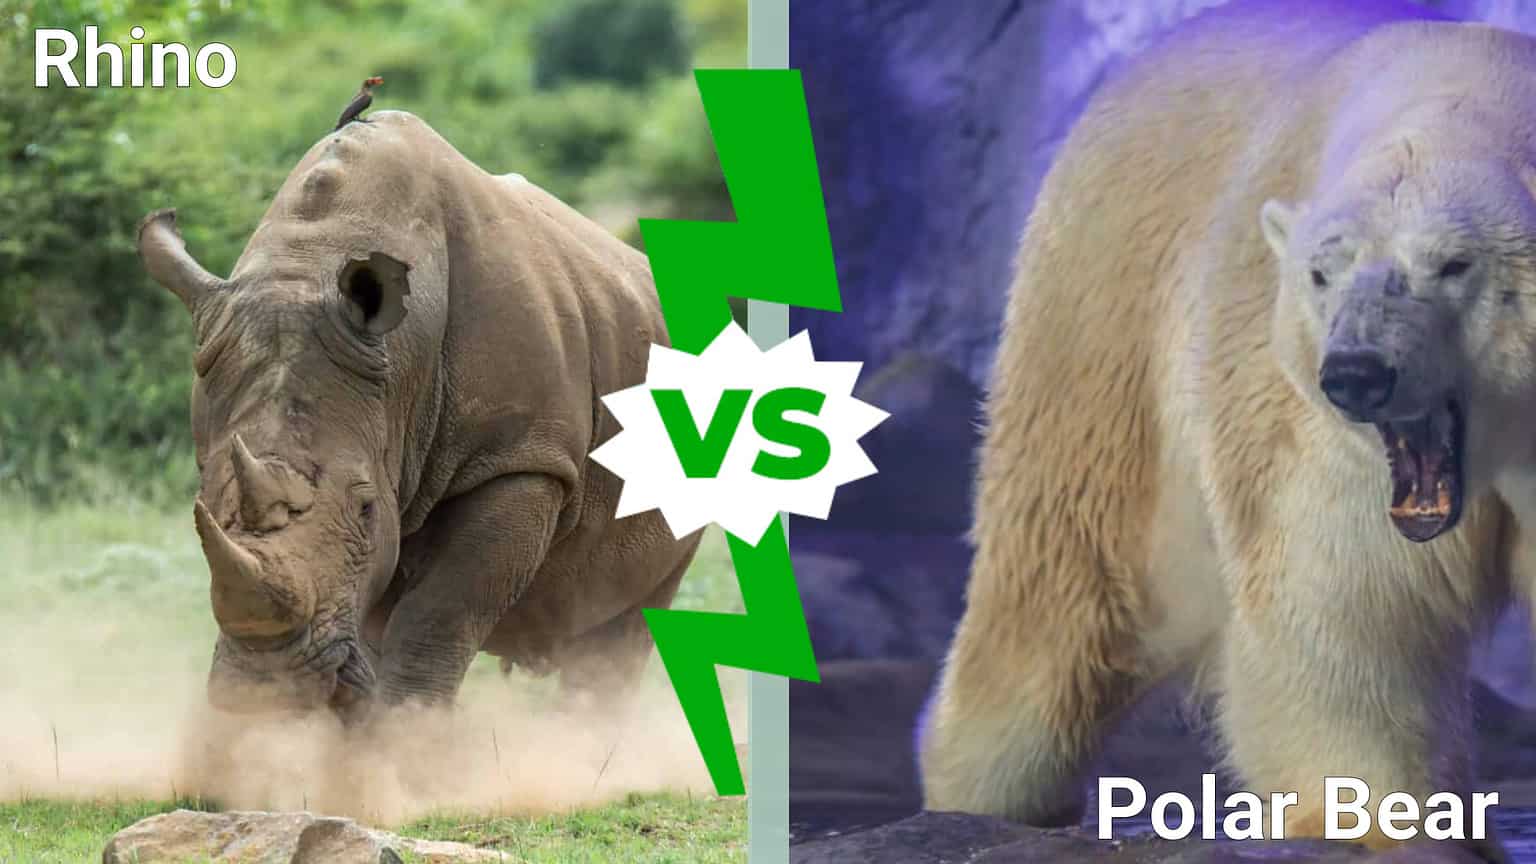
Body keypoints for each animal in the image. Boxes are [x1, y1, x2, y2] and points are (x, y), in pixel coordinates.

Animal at [137, 111, 701, 715]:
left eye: (365, 507)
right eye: (205, 505)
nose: (266, 689)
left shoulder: (522, 457)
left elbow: (438, 615)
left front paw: (408, 729)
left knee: (625, 629)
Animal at [917, 0, 1536, 858]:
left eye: (1453, 264)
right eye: (1321, 271)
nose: (1357, 371)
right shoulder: (1303, 428)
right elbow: (1344, 603)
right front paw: (1395, 826)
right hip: (1107, 330)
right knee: (1062, 588)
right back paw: (988, 795)